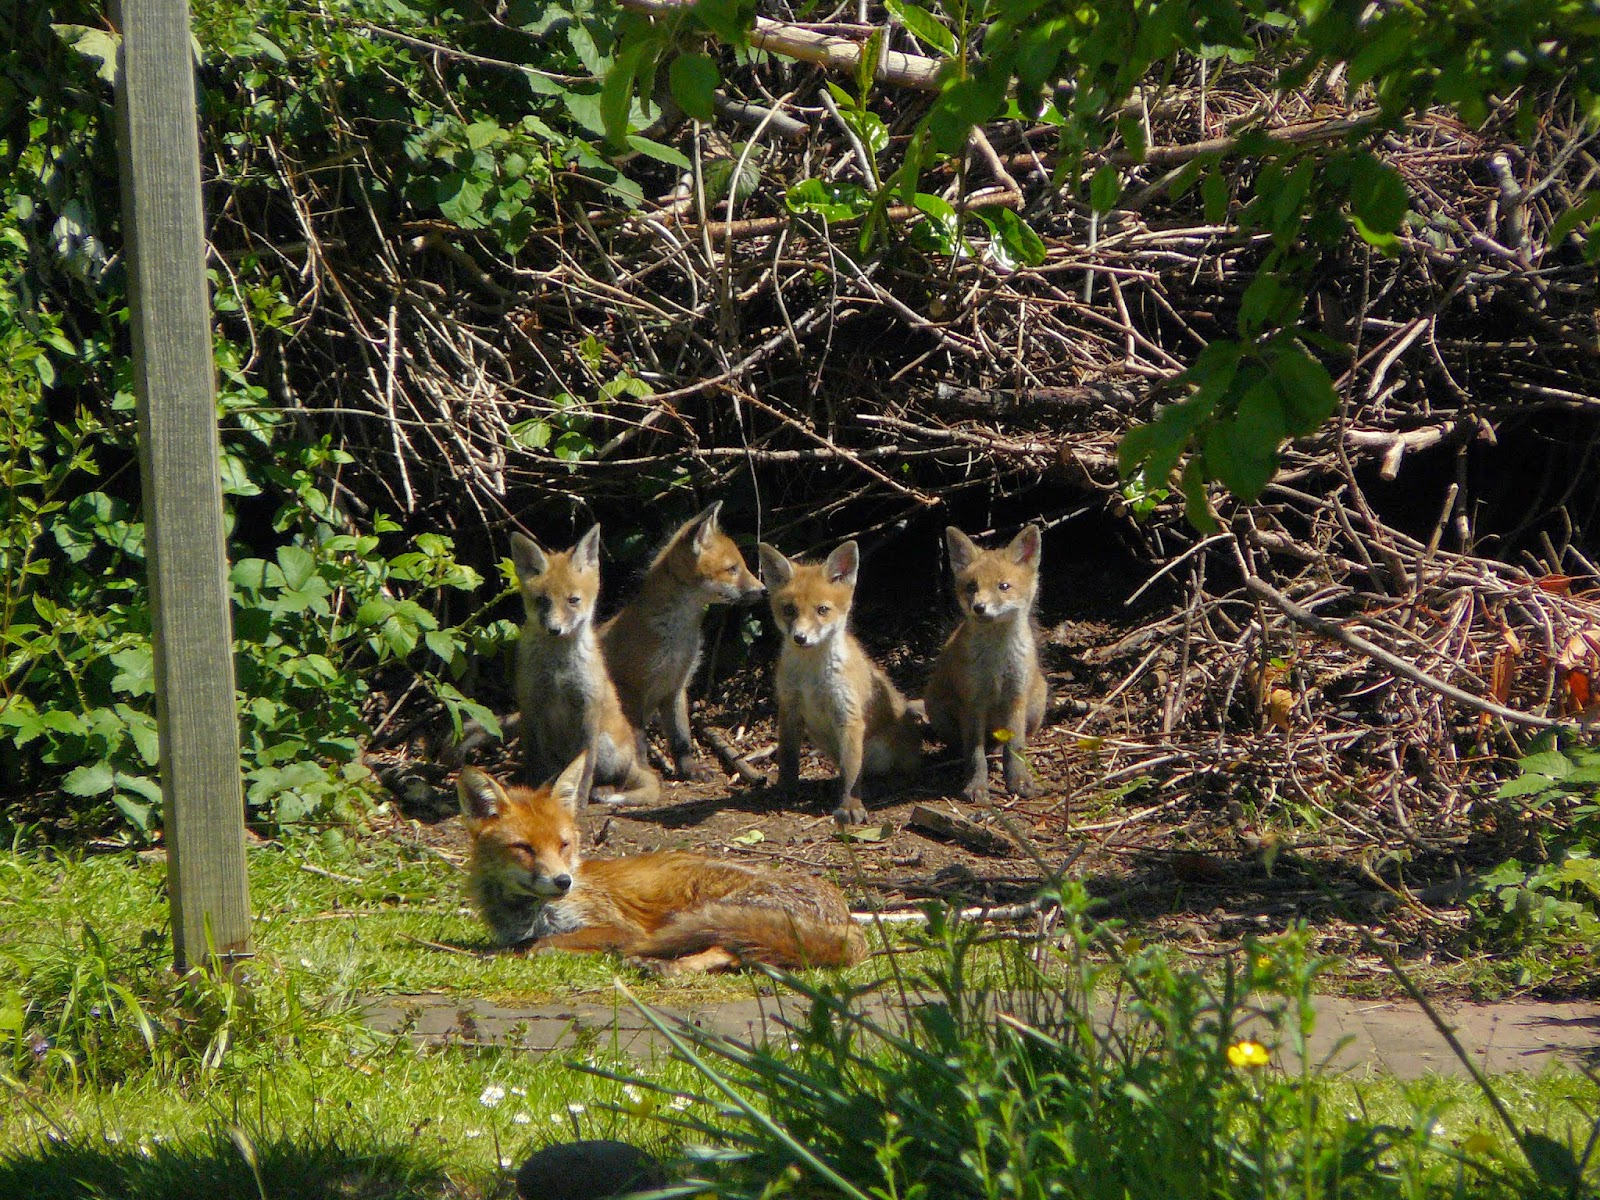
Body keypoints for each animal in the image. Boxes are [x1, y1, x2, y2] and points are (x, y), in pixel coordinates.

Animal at [456, 755, 868, 975]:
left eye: (564, 844)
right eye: (524, 848)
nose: (562, 882)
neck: (528, 913)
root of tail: (846, 916)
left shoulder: (615, 926)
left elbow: (541, 944)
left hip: (719, 907)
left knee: (728, 947)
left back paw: (665, 966)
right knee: (744, 953)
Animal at [511, 525, 660, 805]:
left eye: (573, 600)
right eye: (542, 601)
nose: (554, 629)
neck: (558, 671)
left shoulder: (587, 706)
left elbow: (585, 766)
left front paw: (577, 800)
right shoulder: (532, 704)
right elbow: (537, 762)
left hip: (608, 744)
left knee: (620, 778)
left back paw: (604, 789)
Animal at [601, 501, 765, 781]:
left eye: (741, 566)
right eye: (732, 569)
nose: (764, 590)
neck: (676, 640)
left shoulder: (676, 686)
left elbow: (681, 739)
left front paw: (689, 769)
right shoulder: (630, 689)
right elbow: (638, 742)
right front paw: (644, 772)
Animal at [756, 540, 923, 825]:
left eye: (822, 610)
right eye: (789, 610)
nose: (800, 638)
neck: (811, 678)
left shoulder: (849, 714)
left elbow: (851, 774)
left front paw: (850, 806)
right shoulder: (789, 708)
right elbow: (788, 758)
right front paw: (785, 790)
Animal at [924, 524, 1049, 803]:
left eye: (1004, 586)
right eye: (972, 586)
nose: (979, 607)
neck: (997, 662)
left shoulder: (1016, 697)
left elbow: (1014, 747)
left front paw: (1018, 781)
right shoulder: (972, 700)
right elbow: (975, 752)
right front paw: (976, 786)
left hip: (1037, 702)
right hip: (937, 708)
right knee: (963, 744)